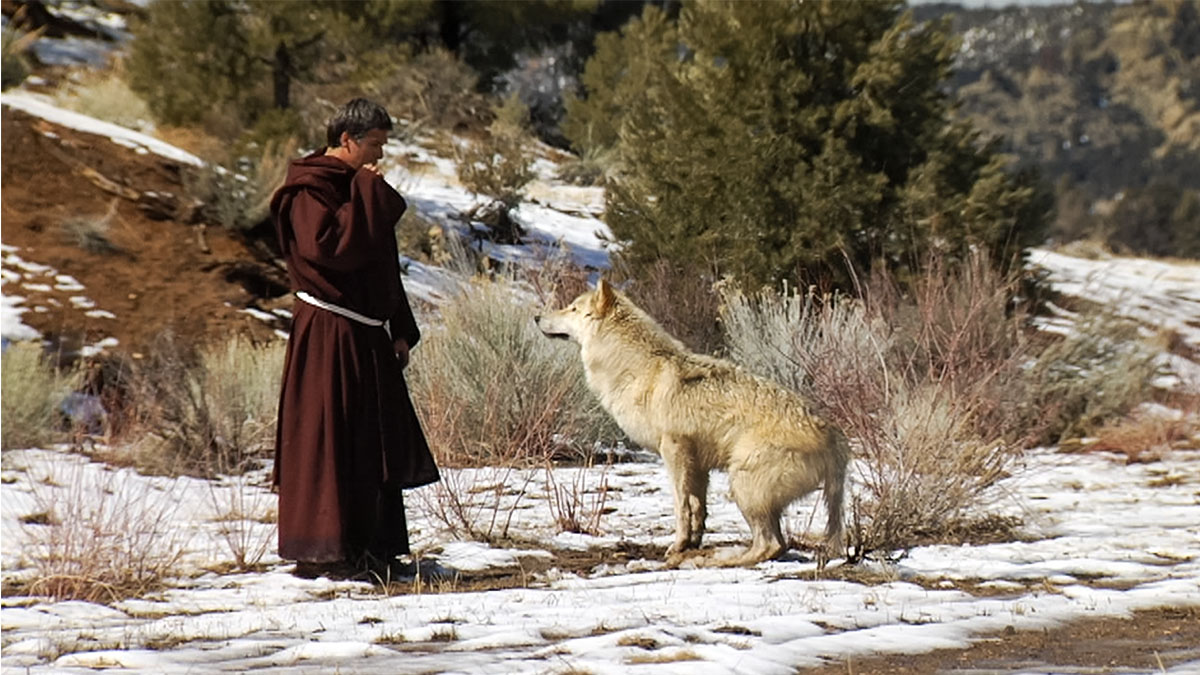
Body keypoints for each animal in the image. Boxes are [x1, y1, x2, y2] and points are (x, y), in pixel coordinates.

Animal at [536, 280, 849, 567]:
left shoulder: (674, 450)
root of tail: (834, 437)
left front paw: (678, 546)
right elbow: (698, 508)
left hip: (742, 486)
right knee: (776, 544)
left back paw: (719, 560)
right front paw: (692, 543)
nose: (537, 317)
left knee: (770, 545)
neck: (636, 368)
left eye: (573, 308)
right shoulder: (698, 465)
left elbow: (681, 506)